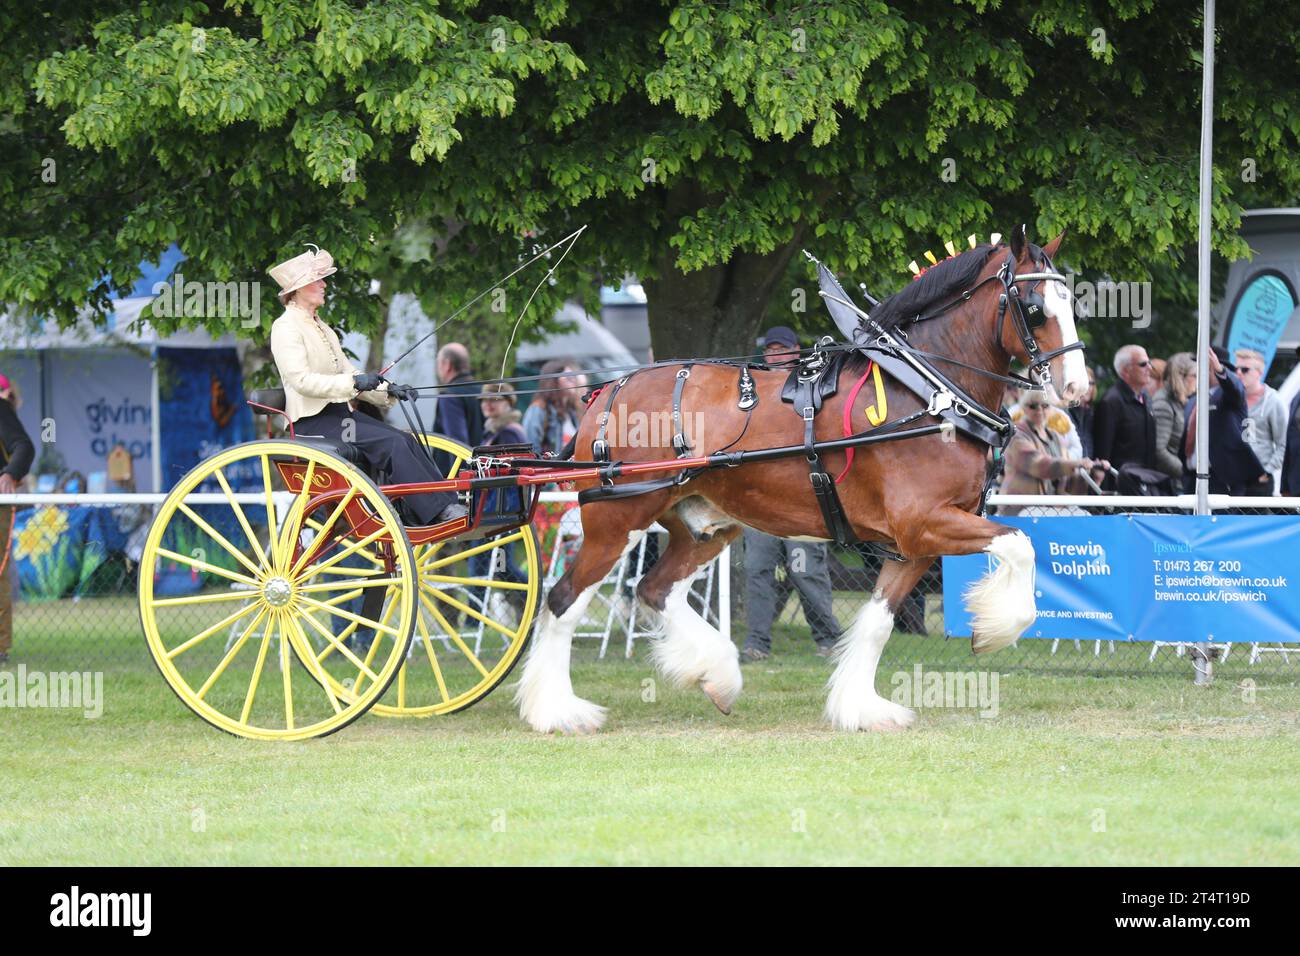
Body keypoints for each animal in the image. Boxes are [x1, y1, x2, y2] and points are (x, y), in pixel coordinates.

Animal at [515, 225, 1088, 733]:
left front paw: (861, 709)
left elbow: (878, 622)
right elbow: (1019, 545)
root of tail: (604, 394)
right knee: (564, 601)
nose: (1078, 387)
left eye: (1072, 302)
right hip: (617, 520)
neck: (928, 394)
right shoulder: (924, 522)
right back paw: (557, 712)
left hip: (703, 524)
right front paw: (992, 631)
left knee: (655, 590)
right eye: (1035, 308)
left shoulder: (913, 542)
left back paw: (715, 674)